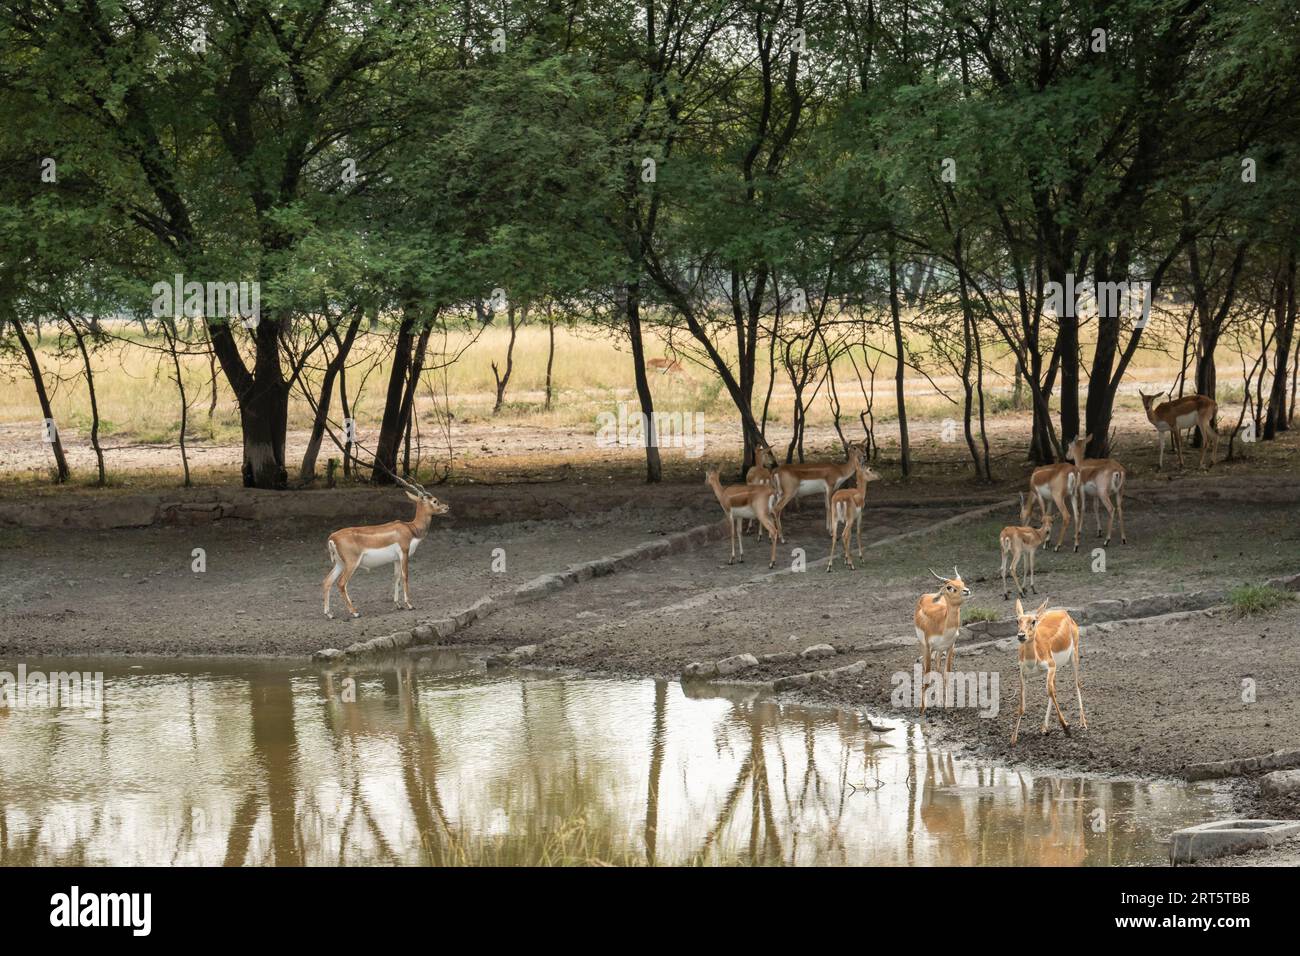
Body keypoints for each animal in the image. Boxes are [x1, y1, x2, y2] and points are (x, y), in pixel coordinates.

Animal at [323, 482, 450, 619]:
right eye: (435, 501)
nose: (447, 507)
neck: (411, 528)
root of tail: (332, 537)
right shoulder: (404, 553)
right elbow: (405, 576)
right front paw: (409, 605)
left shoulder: (396, 559)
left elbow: (396, 577)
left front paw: (398, 604)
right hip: (352, 563)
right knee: (341, 583)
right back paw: (355, 612)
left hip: (340, 563)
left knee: (327, 581)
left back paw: (329, 614)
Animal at [913, 568, 971, 716]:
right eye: (949, 587)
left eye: (962, 583)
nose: (967, 591)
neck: (942, 625)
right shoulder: (928, 647)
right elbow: (927, 677)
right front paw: (922, 709)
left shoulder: (951, 647)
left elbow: (947, 675)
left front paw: (946, 705)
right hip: (924, 646)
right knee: (926, 667)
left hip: (939, 651)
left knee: (938, 669)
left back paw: (939, 701)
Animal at [1010, 598, 1086, 745]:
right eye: (1017, 621)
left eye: (1033, 621)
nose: (1021, 635)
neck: (1033, 660)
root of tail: (1064, 613)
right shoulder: (1023, 674)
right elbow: (1022, 705)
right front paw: (1013, 738)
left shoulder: (1051, 666)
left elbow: (1050, 691)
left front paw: (1067, 729)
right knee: (1054, 689)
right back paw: (1044, 728)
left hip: (1074, 656)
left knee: (1077, 684)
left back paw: (1083, 723)